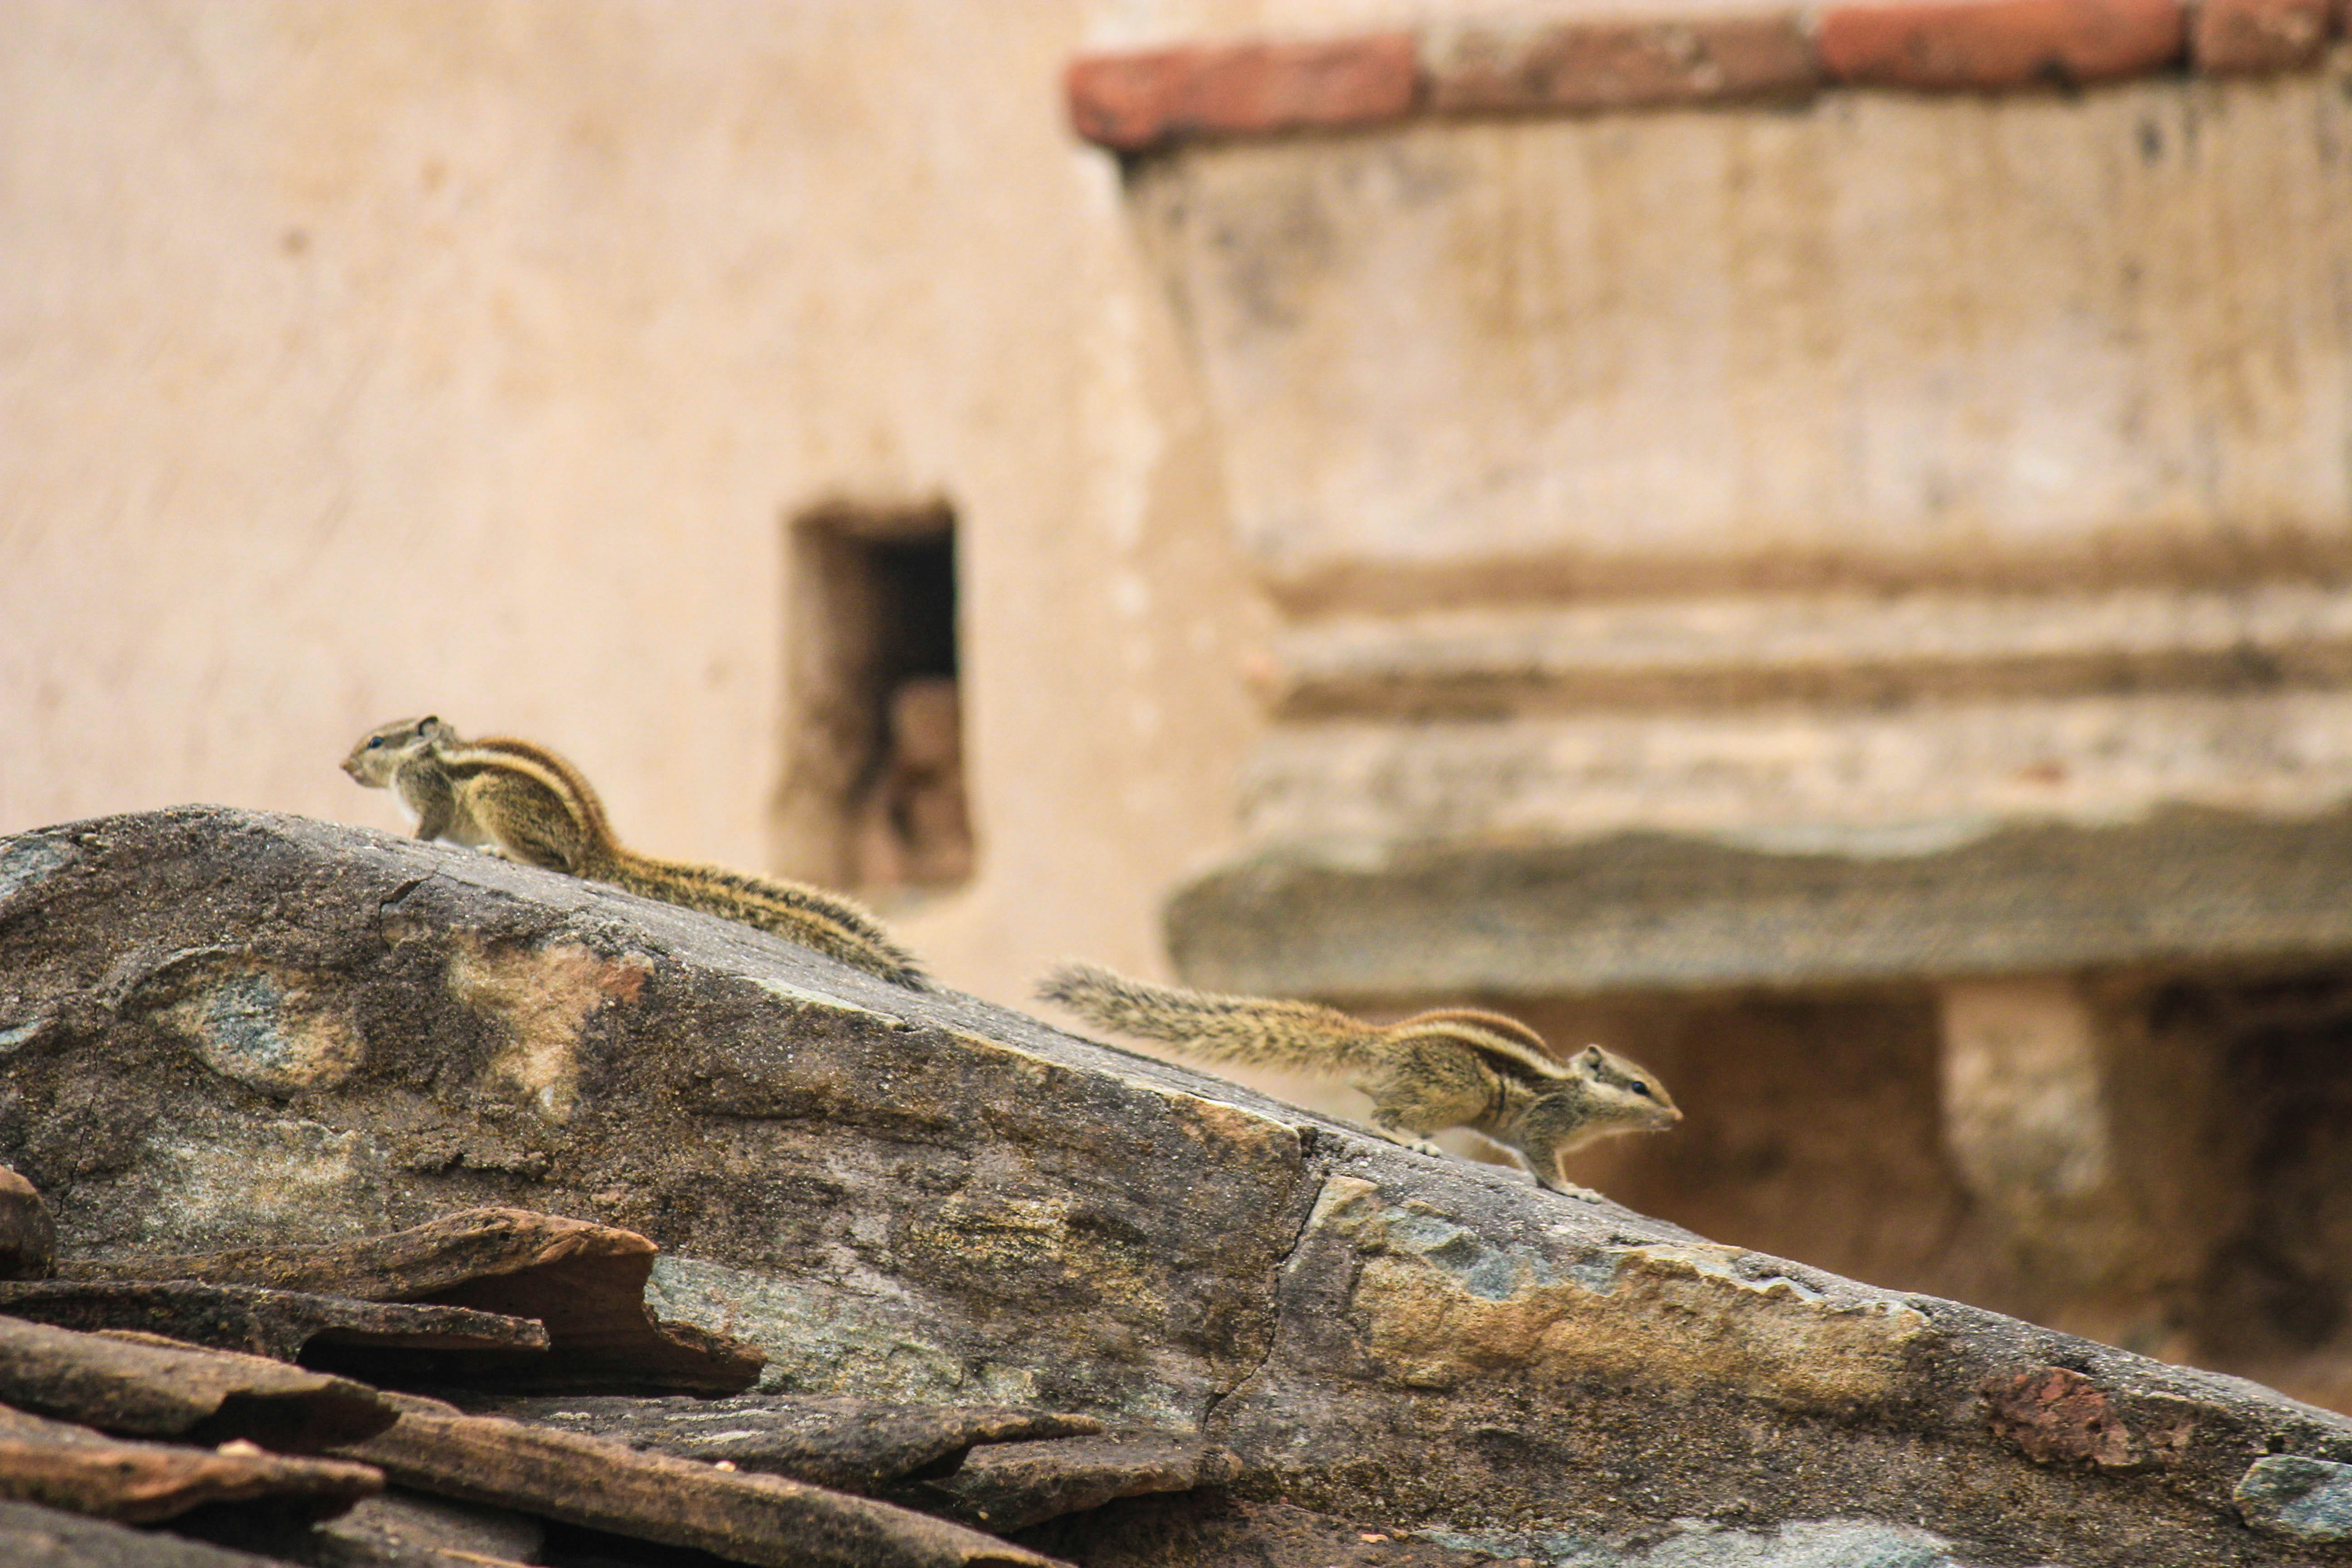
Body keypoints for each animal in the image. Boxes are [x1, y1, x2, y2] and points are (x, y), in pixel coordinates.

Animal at [342, 716, 926, 989]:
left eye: (375, 742)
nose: (344, 768)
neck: (429, 752)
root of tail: (599, 844)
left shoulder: (430, 797)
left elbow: (427, 826)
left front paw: (411, 840)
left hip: (494, 797)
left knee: (559, 865)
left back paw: (504, 854)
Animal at [1036, 962, 1680, 1192]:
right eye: (1640, 1087)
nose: (1677, 1118)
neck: (1582, 1096)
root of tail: (1380, 1042)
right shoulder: (1546, 1125)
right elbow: (1545, 1164)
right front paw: (1575, 1190)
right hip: (1458, 1088)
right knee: (1383, 1114)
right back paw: (1414, 1139)